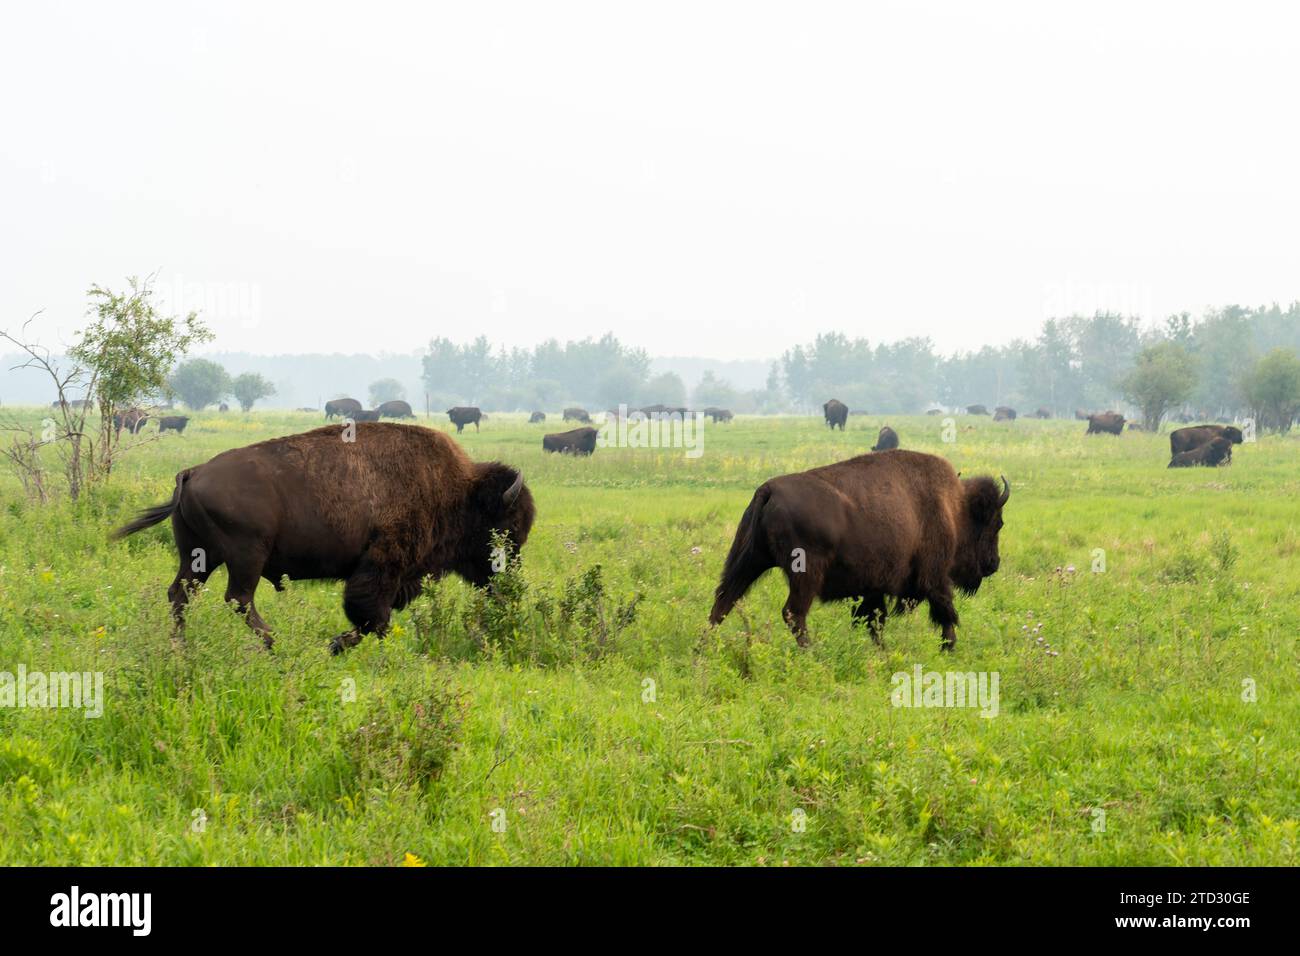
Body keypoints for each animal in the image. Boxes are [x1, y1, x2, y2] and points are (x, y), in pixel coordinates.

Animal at [113, 423, 534, 654]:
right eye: (506, 530)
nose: (507, 587)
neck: (457, 491)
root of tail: (193, 472)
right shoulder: (381, 566)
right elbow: (372, 618)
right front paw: (333, 646)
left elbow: (375, 619)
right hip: (245, 556)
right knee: (238, 598)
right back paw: (274, 642)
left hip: (200, 556)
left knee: (181, 594)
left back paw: (179, 648)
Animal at [709, 450, 1009, 650]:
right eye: (997, 523)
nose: (994, 563)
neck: (954, 508)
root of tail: (768, 489)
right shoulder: (934, 576)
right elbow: (945, 611)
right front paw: (949, 647)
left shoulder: (874, 588)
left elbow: (873, 619)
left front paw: (881, 651)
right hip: (805, 573)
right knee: (793, 613)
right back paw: (812, 654)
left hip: (749, 561)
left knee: (723, 602)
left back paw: (705, 647)